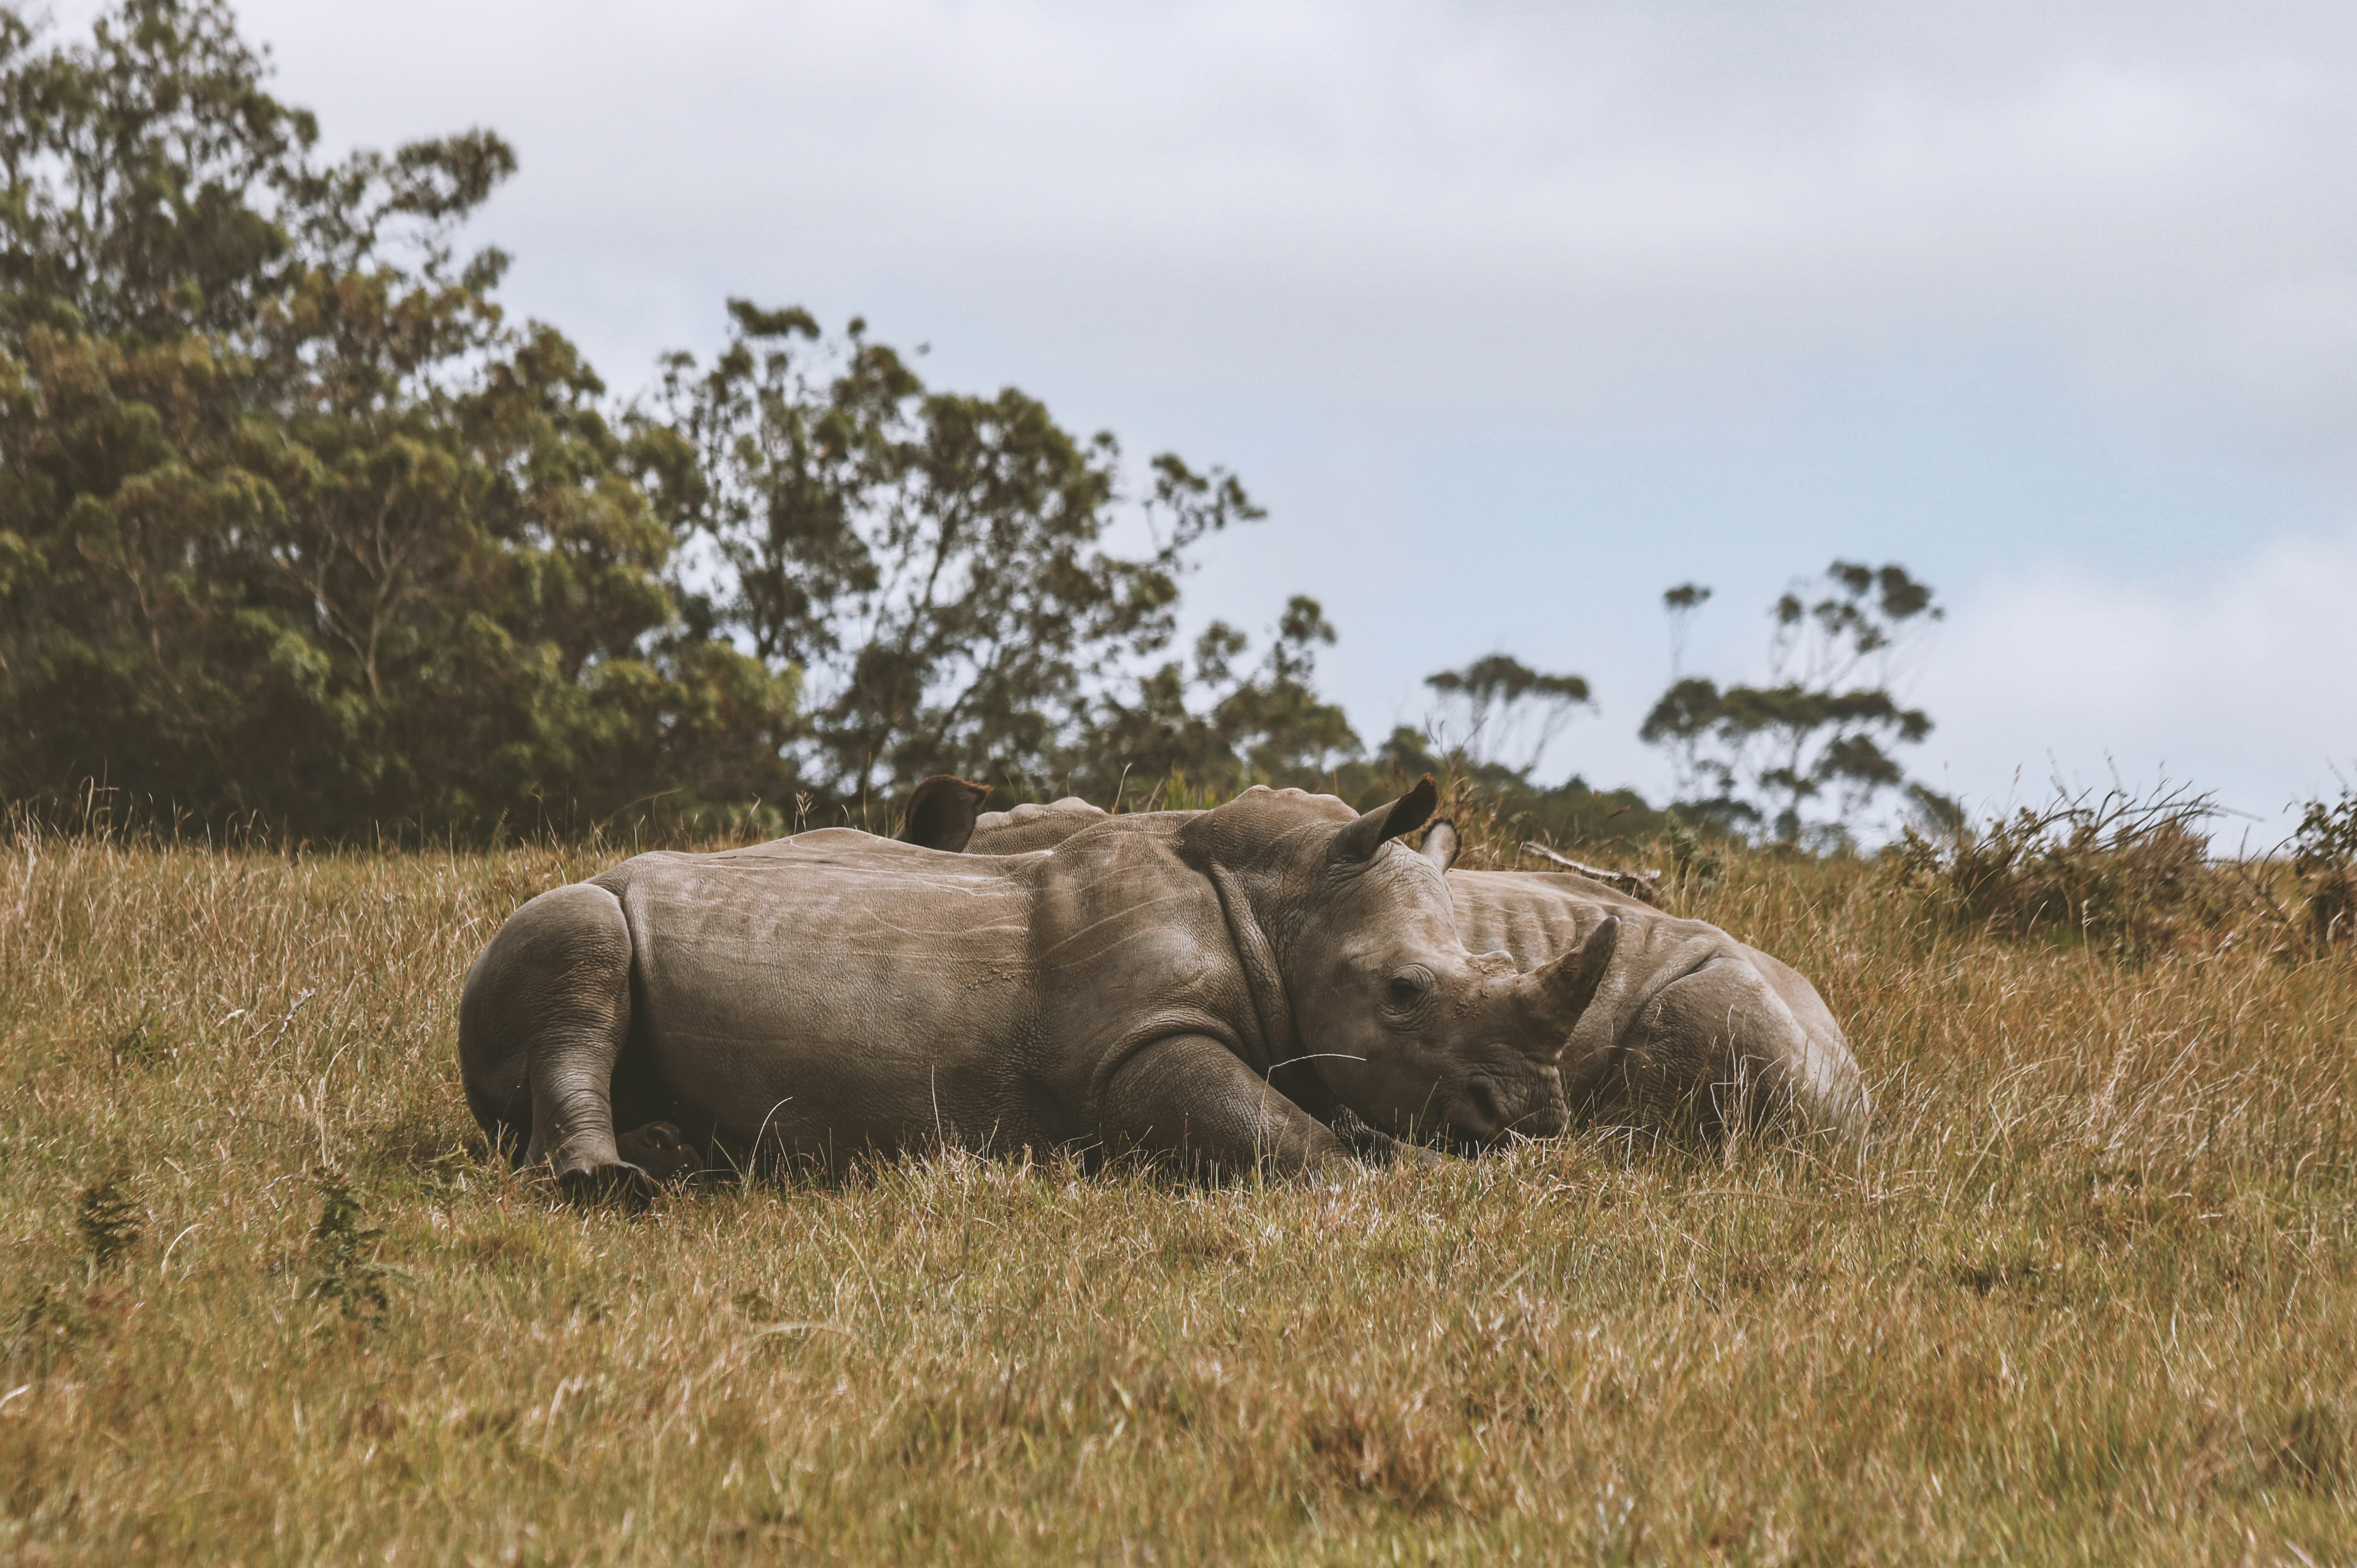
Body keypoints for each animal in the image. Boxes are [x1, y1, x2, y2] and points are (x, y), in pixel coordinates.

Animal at [458, 779, 1620, 1198]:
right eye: (1404, 991)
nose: (1529, 1114)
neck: (1284, 898)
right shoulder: (1129, 1043)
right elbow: (1285, 1139)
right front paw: (1380, 1177)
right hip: (565, 910)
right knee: (579, 945)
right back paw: (614, 1185)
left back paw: (677, 1155)